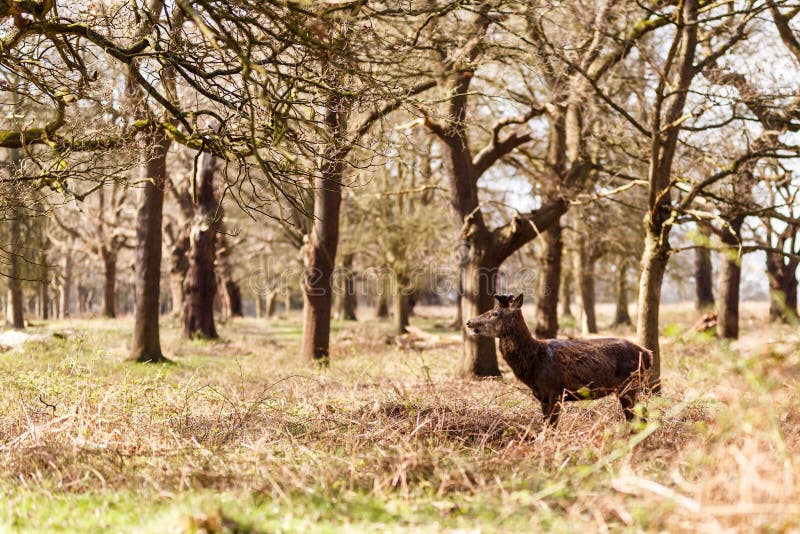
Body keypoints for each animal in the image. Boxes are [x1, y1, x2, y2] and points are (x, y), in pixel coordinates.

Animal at [465, 293, 652, 427]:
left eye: (494, 313)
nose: (469, 322)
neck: (533, 361)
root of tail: (648, 354)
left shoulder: (555, 391)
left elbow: (552, 428)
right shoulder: (542, 396)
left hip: (629, 386)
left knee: (639, 419)